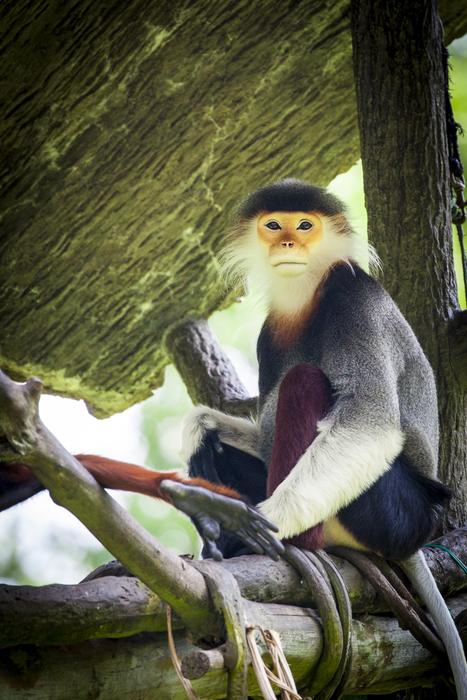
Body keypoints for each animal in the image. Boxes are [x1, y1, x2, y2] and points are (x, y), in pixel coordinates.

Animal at [182, 178, 467, 697]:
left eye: (304, 225)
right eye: (273, 225)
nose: (287, 244)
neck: (306, 292)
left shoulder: (354, 298)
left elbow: (369, 423)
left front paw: (265, 523)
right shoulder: (269, 332)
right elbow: (258, 433)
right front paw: (199, 429)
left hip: (393, 513)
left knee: (305, 380)